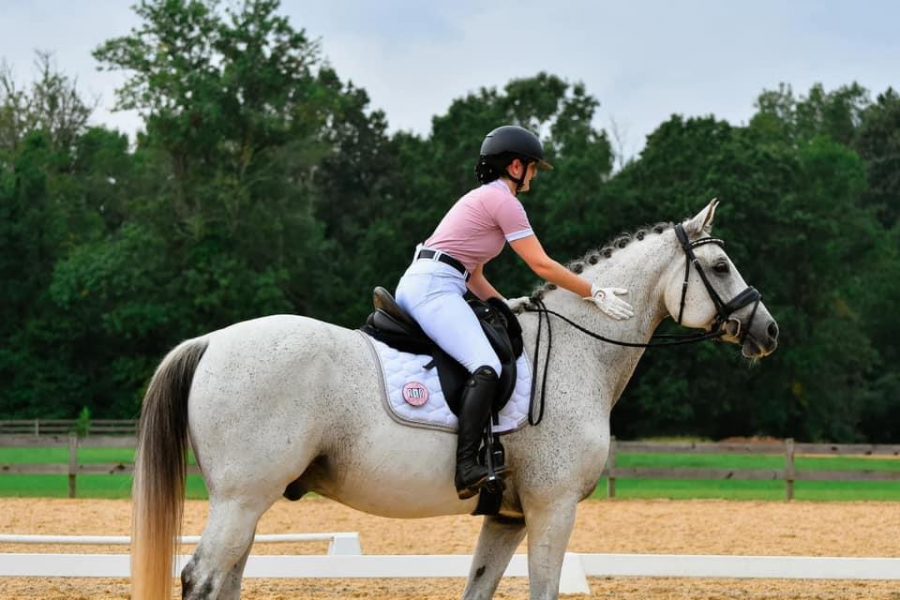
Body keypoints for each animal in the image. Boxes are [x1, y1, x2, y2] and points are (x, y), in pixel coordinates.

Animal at [131, 199, 779, 600]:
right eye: (720, 265)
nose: (768, 331)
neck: (580, 350)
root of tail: (212, 341)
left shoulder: (508, 516)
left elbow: (479, 588)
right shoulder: (553, 508)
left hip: (248, 504)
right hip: (242, 499)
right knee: (202, 578)